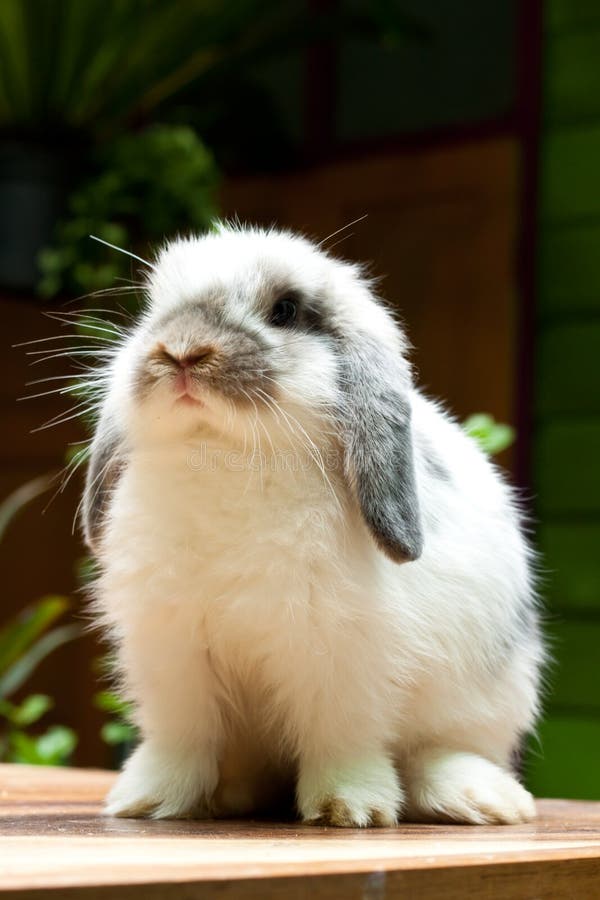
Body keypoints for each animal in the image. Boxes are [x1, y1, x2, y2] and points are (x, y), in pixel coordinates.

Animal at [82, 223, 544, 827]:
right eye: (155, 306)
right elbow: (181, 739)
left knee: (440, 751)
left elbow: (341, 736)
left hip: (485, 700)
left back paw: (484, 798)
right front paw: (148, 800)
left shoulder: (339, 659)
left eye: (284, 310)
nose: (181, 351)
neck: (224, 457)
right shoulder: (174, 657)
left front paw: (347, 808)